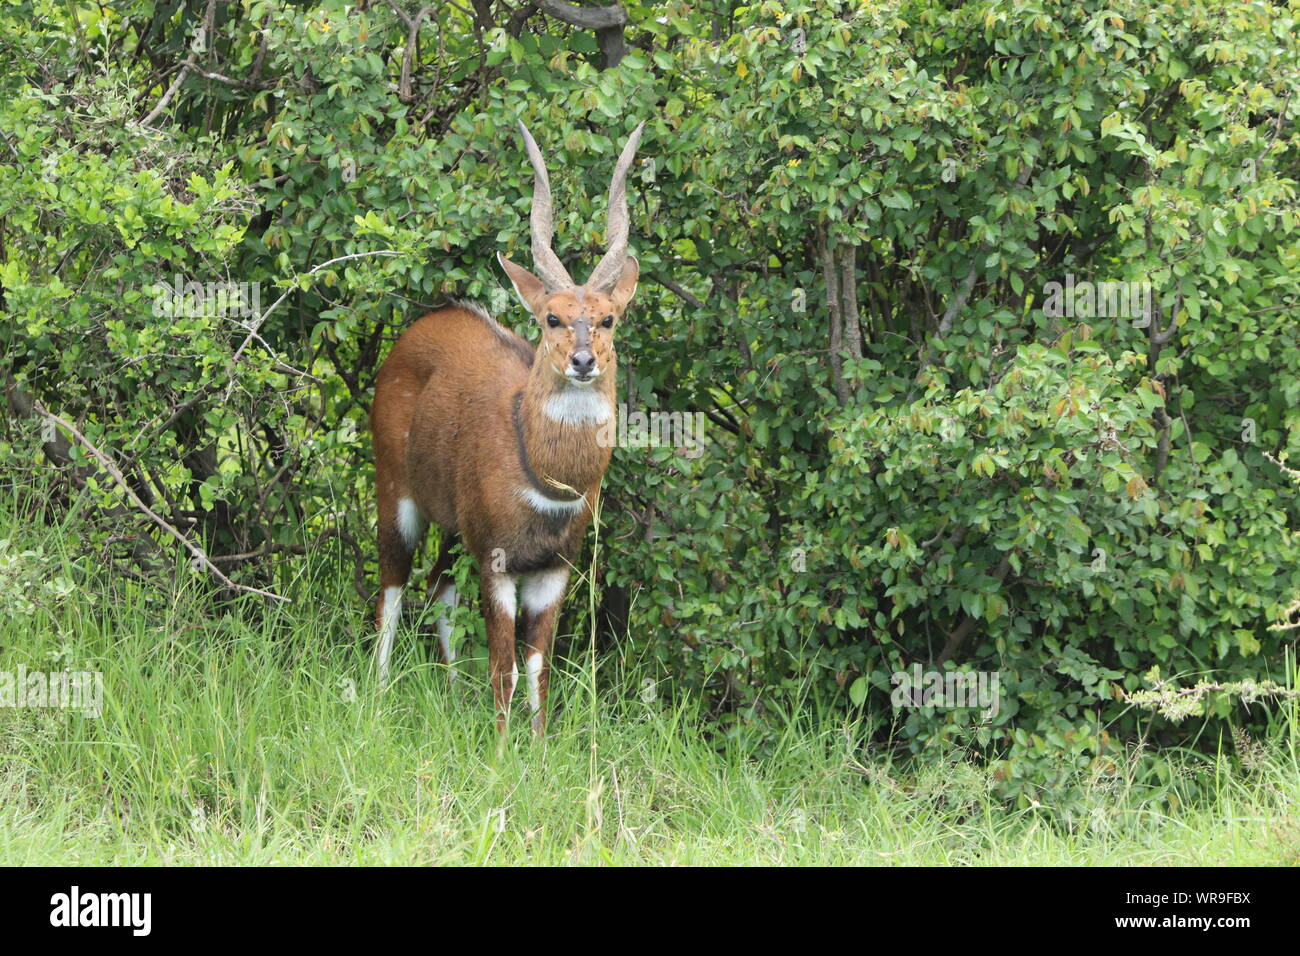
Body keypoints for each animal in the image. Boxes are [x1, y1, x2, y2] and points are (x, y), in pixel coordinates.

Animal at [370, 119, 644, 734]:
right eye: (552, 317)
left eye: (608, 318)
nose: (583, 362)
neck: (547, 480)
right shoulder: (496, 561)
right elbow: (505, 669)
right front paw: (499, 748)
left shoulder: (554, 569)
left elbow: (539, 669)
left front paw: (538, 747)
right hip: (394, 491)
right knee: (392, 585)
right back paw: (373, 694)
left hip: (451, 525)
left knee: (438, 586)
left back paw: (449, 693)